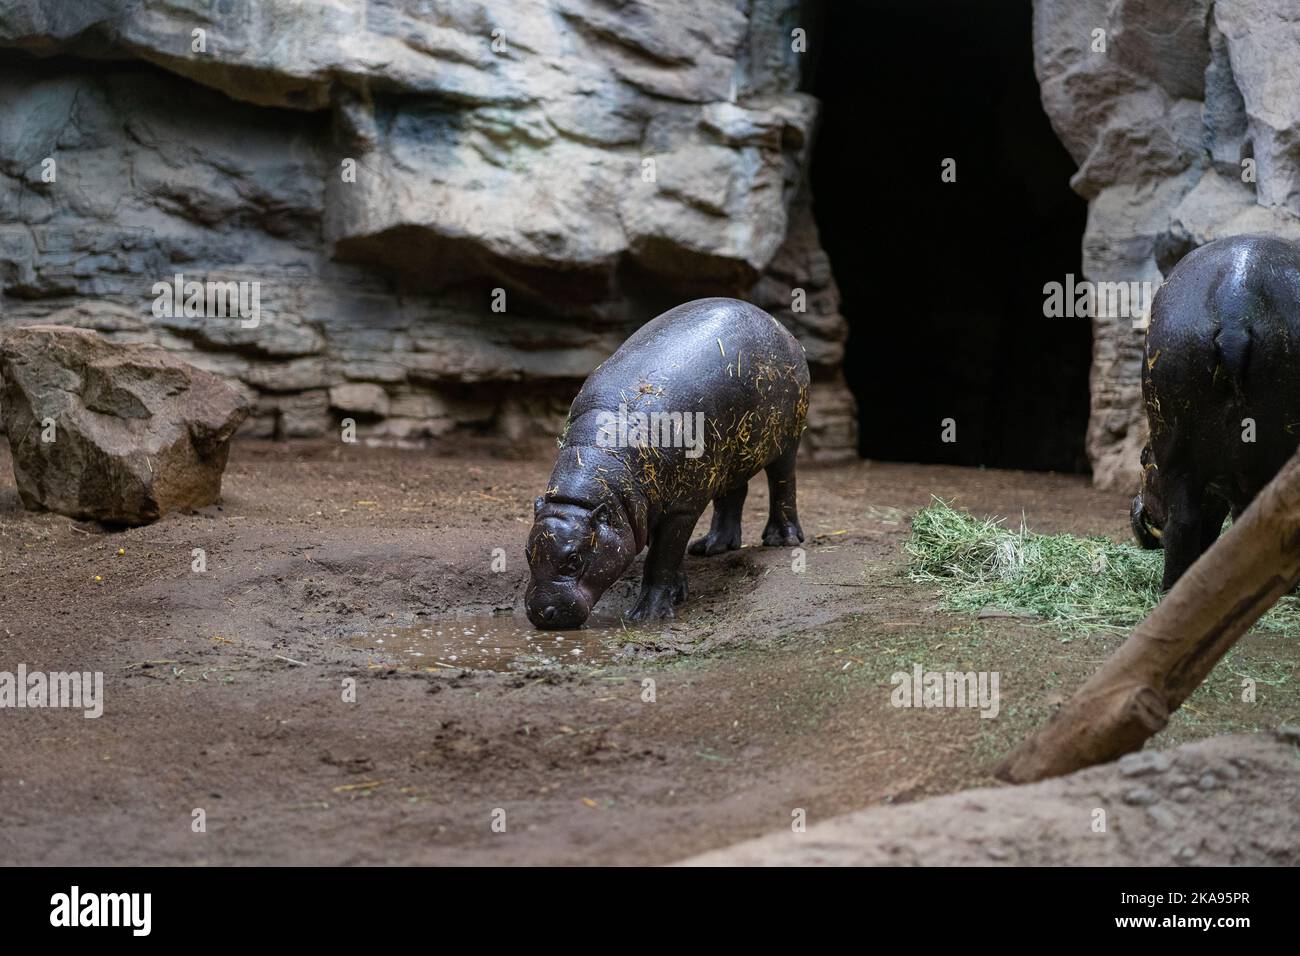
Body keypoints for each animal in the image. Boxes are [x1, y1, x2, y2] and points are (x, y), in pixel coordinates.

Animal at [525, 297, 810, 628]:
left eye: (574, 559)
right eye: (528, 552)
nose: (540, 612)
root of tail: (773, 321)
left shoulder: (680, 508)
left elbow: (662, 557)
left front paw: (648, 615)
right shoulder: (642, 508)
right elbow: (663, 551)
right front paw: (677, 591)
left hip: (787, 439)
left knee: (783, 483)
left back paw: (782, 540)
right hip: (727, 458)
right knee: (733, 494)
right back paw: (711, 546)